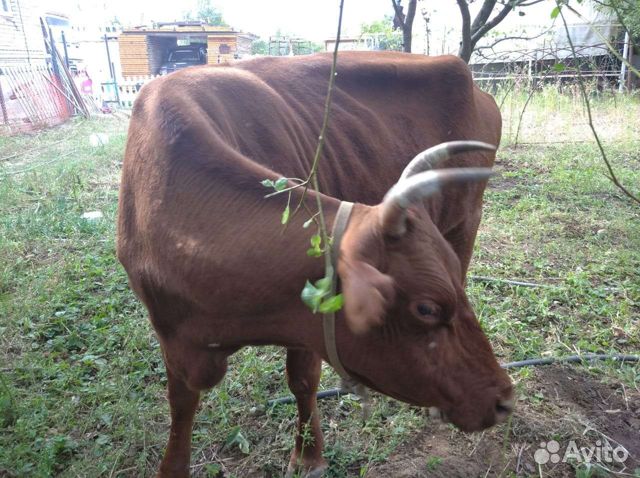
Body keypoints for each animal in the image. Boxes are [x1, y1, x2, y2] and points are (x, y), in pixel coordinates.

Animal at [117, 52, 514, 477]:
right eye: (426, 308)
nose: (504, 398)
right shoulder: (170, 331)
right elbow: (181, 403)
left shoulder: (303, 322)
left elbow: (302, 381)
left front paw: (308, 456)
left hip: (467, 222)